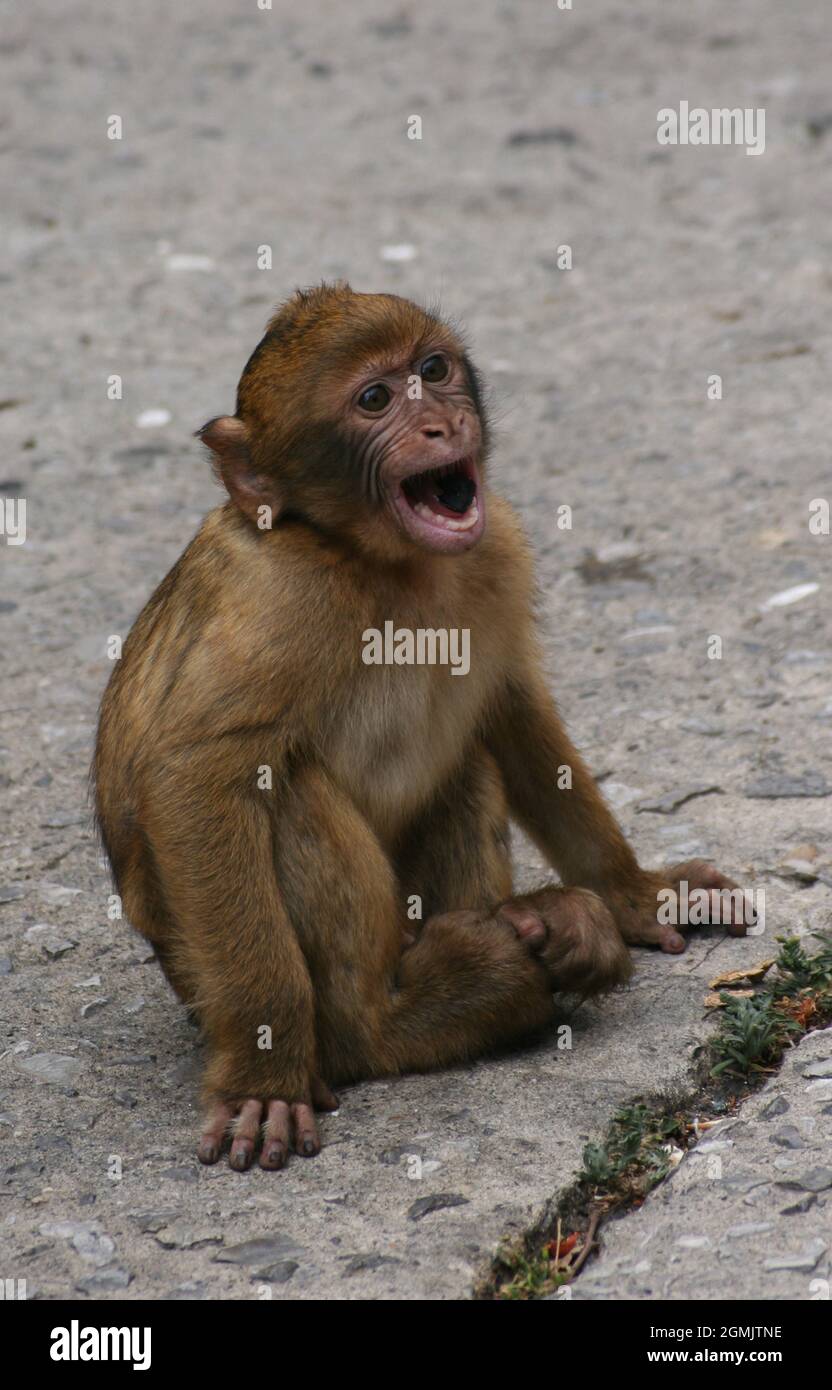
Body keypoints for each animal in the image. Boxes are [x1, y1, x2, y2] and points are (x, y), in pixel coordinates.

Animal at [94, 283, 751, 1172]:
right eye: (374, 400)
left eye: (432, 370)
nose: (440, 423)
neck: (381, 561)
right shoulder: (279, 598)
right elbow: (198, 776)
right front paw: (265, 1070)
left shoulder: (498, 543)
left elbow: (510, 707)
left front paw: (632, 893)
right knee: (285, 788)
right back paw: (396, 1017)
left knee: (465, 763)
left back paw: (537, 929)